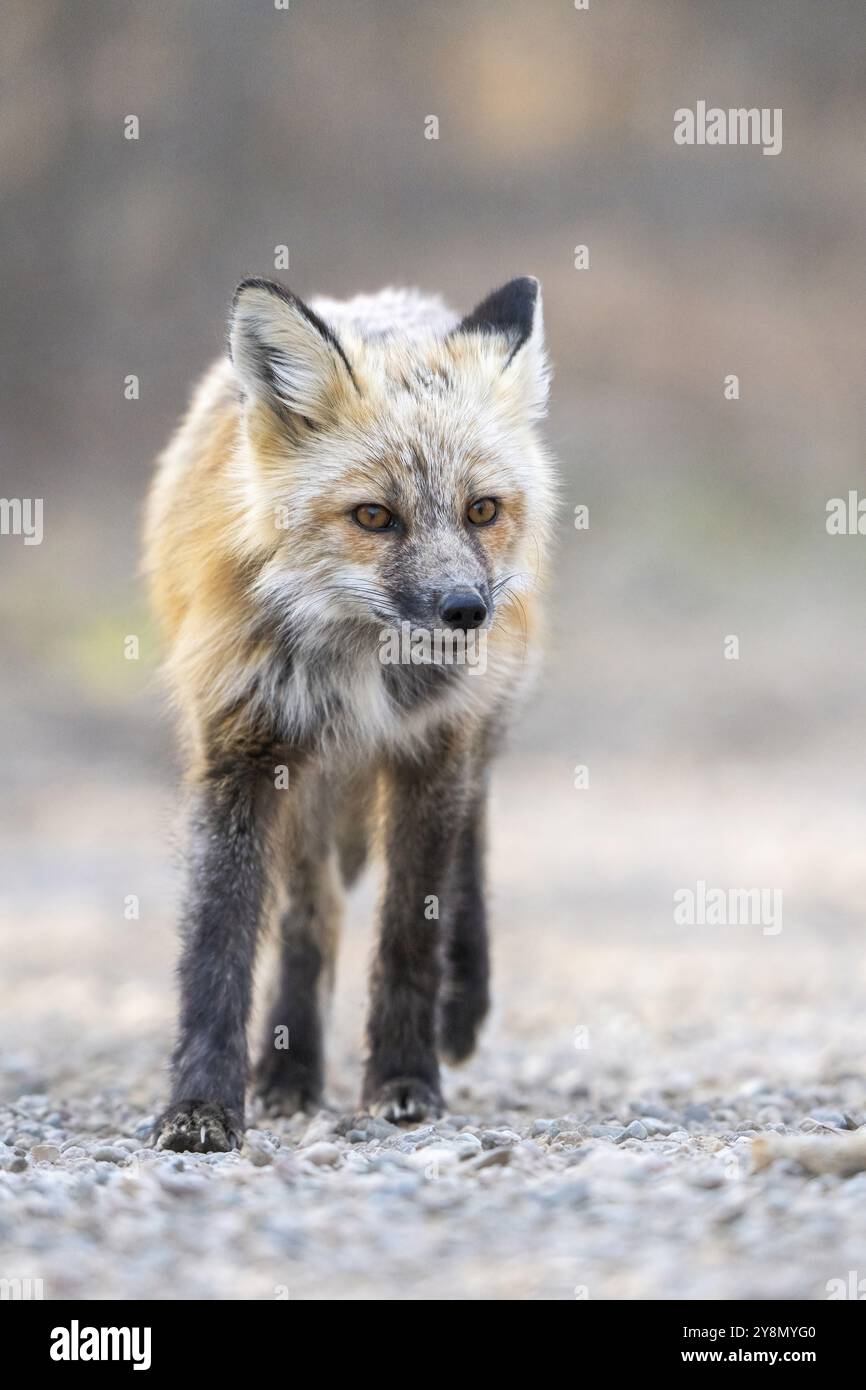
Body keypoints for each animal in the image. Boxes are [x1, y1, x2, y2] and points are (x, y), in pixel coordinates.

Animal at [144, 274, 556, 1151]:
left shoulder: (431, 749)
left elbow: (410, 929)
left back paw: (462, 1006)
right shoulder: (240, 751)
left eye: (481, 510)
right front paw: (202, 1106)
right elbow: (219, 945)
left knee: (471, 844)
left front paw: (404, 1078)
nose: (465, 610)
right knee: (313, 915)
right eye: (374, 516)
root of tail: (389, 302)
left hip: (479, 725)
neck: (358, 665)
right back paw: (290, 1069)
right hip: (307, 787)